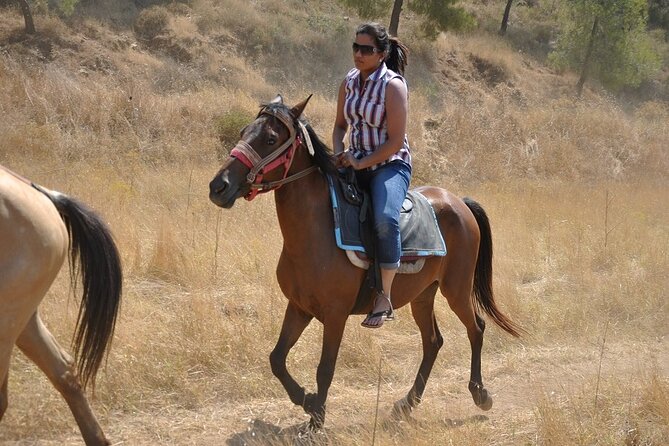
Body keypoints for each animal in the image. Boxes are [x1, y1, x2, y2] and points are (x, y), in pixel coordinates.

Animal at [208, 95, 523, 431]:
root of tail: (459, 202)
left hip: (457, 289)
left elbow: (325, 368)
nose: (218, 186)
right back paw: (407, 403)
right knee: (433, 342)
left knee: (476, 328)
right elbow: (277, 359)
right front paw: (307, 400)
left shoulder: (335, 315)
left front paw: (316, 419)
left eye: (270, 138)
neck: (315, 231)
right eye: (243, 131)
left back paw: (480, 394)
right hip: (423, 295)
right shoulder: (299, 307)